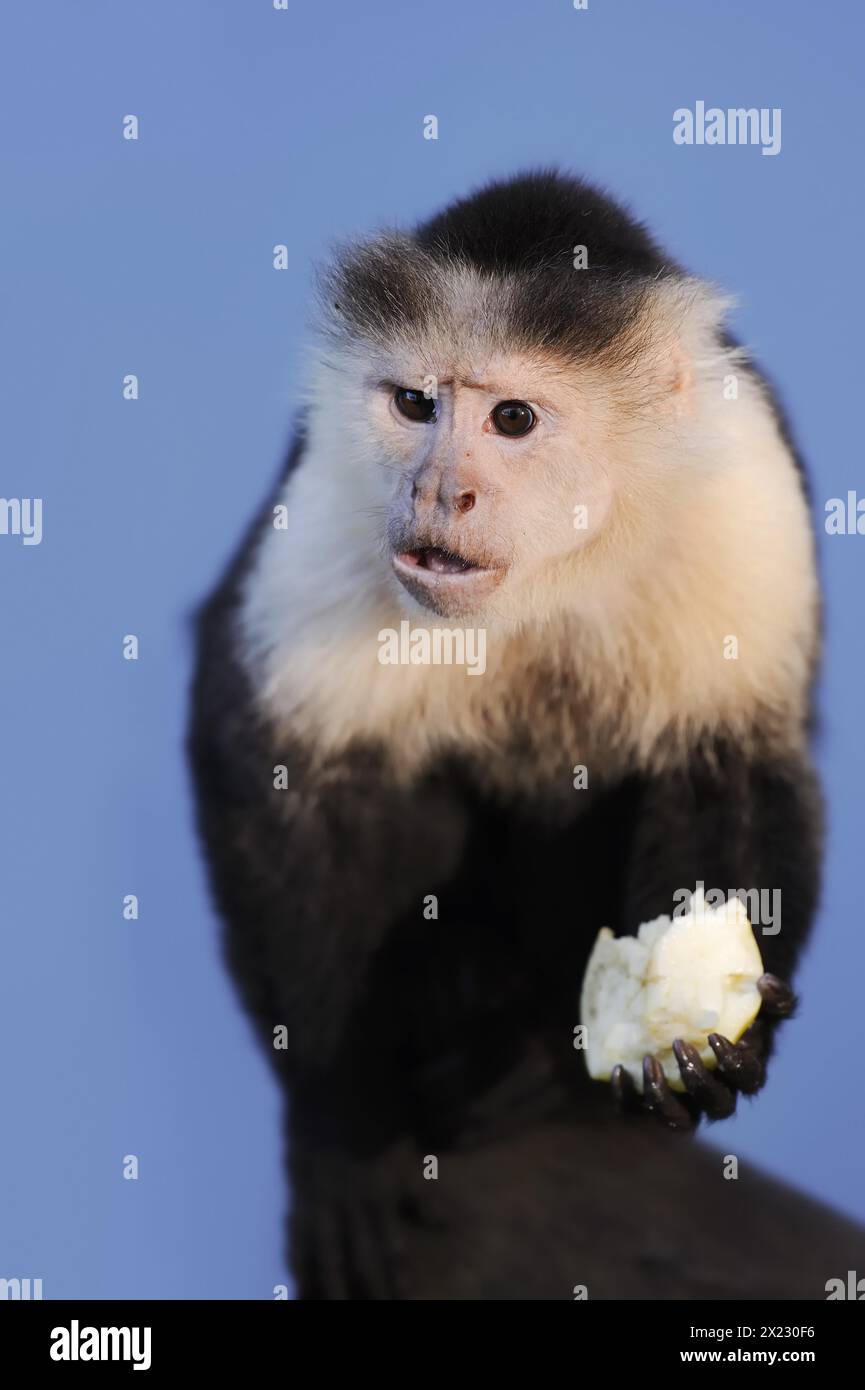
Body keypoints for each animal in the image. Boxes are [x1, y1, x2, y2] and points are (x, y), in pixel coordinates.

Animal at [189, 170, 865, 1300]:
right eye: (415, 405)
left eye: (511, 418)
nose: (436, 489)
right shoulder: (333, 490)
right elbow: (274, 765)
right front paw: (341, 1130)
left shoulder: (740, 484)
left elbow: (731, 762)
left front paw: (693, 1052)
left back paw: (539, 1067)